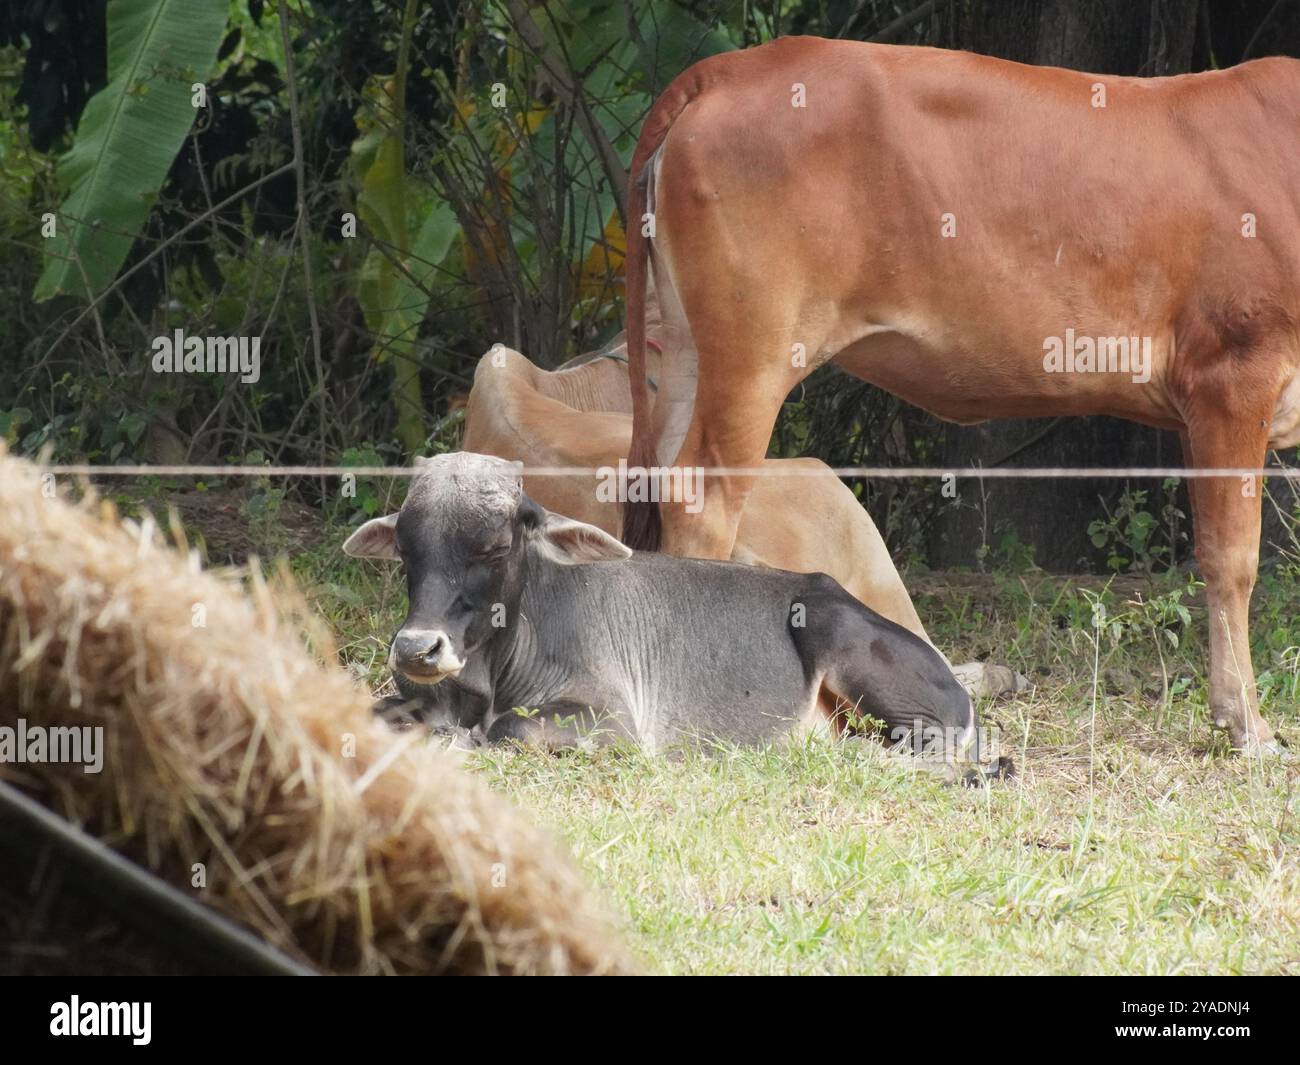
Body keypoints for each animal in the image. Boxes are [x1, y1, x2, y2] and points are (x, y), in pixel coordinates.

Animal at [343, 452, 1004, 776]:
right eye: (406, 548)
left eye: (496, 547)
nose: (417, 649)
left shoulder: (611, 722)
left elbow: (508, 729)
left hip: (853, 650)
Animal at [619, 37, 1300, 755]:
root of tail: (732, 67)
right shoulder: (1233, 373)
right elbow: (1233, 559)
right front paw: (1247, 725)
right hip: (755, 349)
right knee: (701, 498)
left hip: (685, 352)